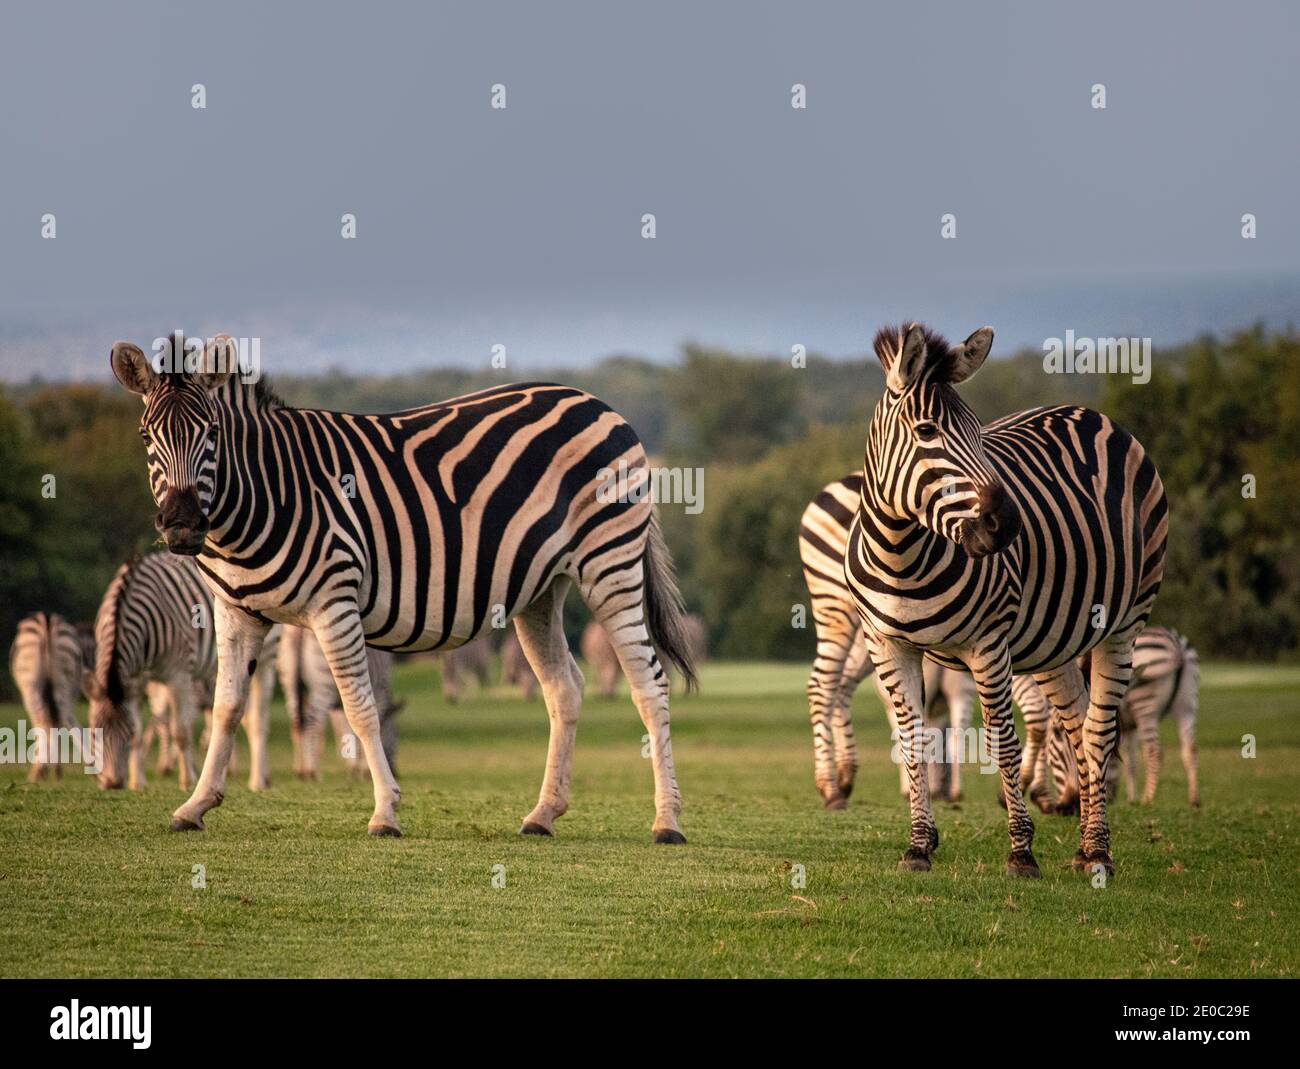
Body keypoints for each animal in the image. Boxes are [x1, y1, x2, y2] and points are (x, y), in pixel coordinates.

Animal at [8, 612, 86, 780]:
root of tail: (46, 622)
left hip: (31, 684)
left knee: (42, 719)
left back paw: (40, 771)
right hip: (65, 684)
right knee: (58, 719)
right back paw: (56, 770)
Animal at [86, 551, 280, 792]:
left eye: (126, 733)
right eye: (93, 732)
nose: (112, 784)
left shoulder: (178, 672)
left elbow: (181, 731)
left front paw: (188, 781)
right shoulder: (136, 679)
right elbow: (142, 731)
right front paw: (137, 782)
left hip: (265, 659)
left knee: (258, 722)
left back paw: (258, 781)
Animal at [110, 333, 696, 841]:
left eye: (210, 433)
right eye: (144, 437)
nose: (182, 524)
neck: (265, 493)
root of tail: (598, 402)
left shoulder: (335, 602)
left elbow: (359, 707)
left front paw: (385, 812)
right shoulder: (234, 611)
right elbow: (227, 709)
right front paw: (194, 805)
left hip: (610, 563)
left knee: (649, 685)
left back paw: (667, 822)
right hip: (540, 589)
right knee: (564, 688)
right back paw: (542, 814)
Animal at [845, 323, 1167, 878]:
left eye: (979, 433)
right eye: (926, 431)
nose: (1008, 524)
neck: (901, 553)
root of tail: (1091, 413)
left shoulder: (988, 644)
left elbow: (1002, 741)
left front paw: (1021, 851)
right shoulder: (887, 644)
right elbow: (913, 741)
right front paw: (918, 846)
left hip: (1126, 623)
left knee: (1100, 731)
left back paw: (1099, 851)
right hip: (1056, 642)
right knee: (1077, 726)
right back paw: (1082, 846)